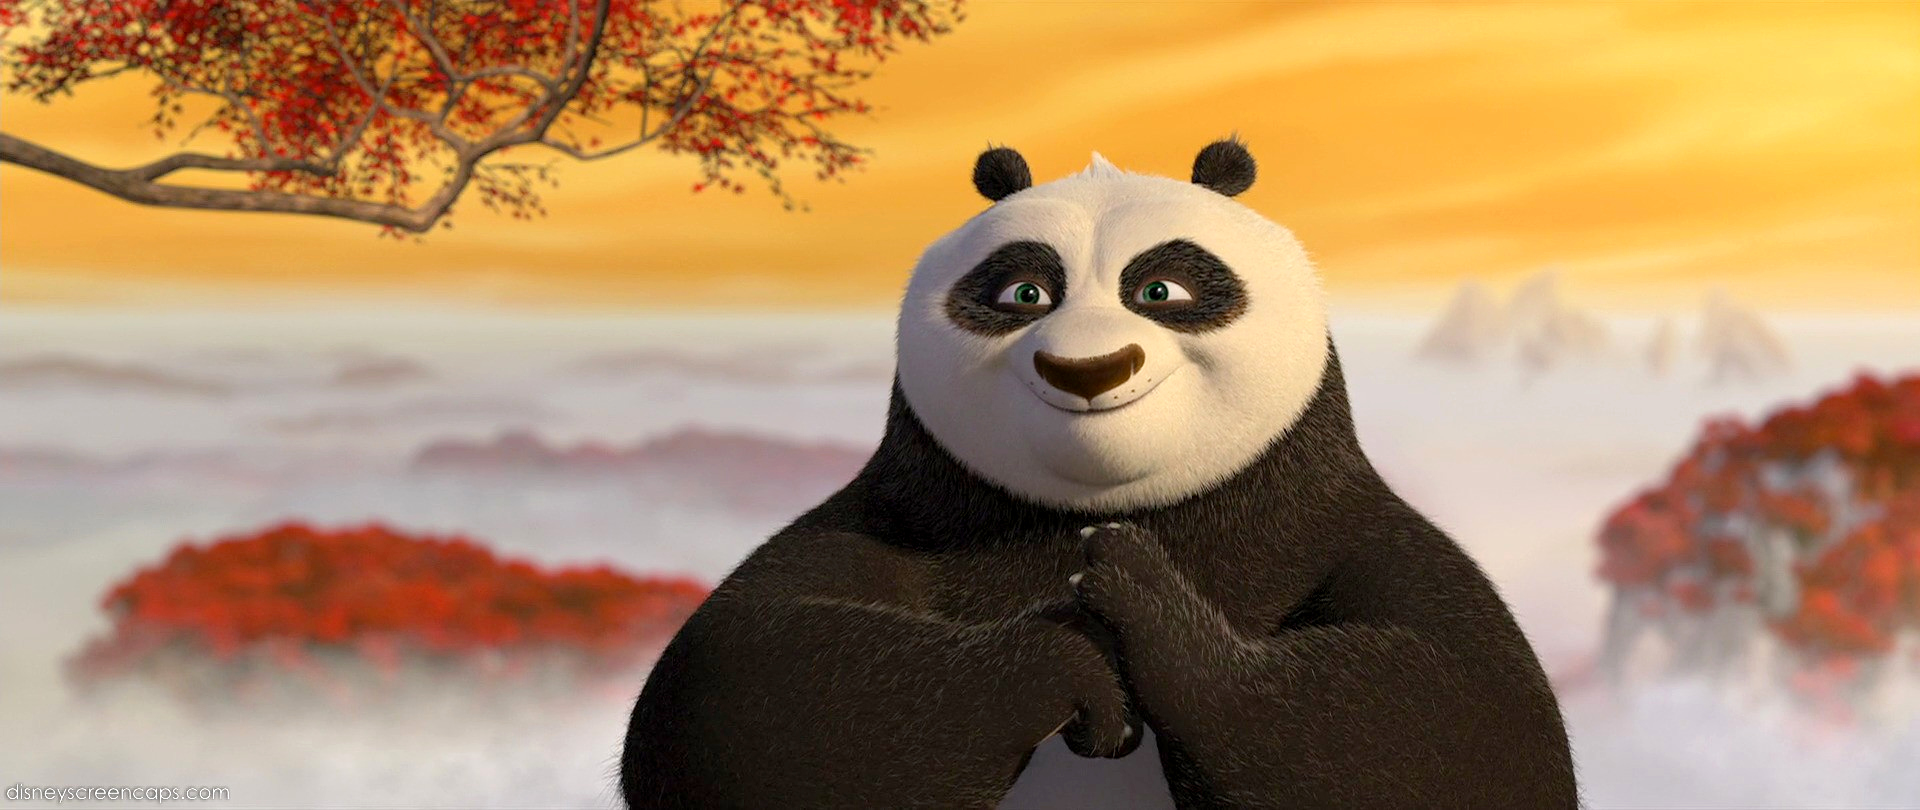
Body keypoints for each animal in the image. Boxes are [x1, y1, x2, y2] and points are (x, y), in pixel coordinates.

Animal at [620, 139, 1579, 809]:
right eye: (1023, 295)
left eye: (1161, 290)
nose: (1089, 370)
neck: (1111, 499)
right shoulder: (911, 514)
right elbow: (745, 683)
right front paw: (1077, 657)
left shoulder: (1329, 519)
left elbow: (1456, 717)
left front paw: (1138, 597)